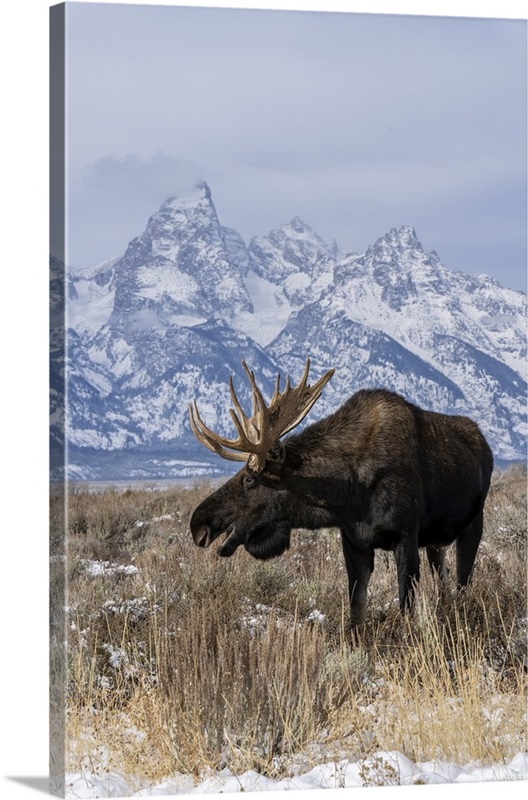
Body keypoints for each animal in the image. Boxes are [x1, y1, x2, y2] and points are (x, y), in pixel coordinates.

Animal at [188, 359, 493, 628]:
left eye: (249, 479)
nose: (197, 524)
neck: (349, 493)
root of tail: (486, 446)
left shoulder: (405, 537)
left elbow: (405, 608)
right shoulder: (354, 542)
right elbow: (356, 614)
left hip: (472, 524)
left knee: (463, 583)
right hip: (435, 541)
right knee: (444, 582)